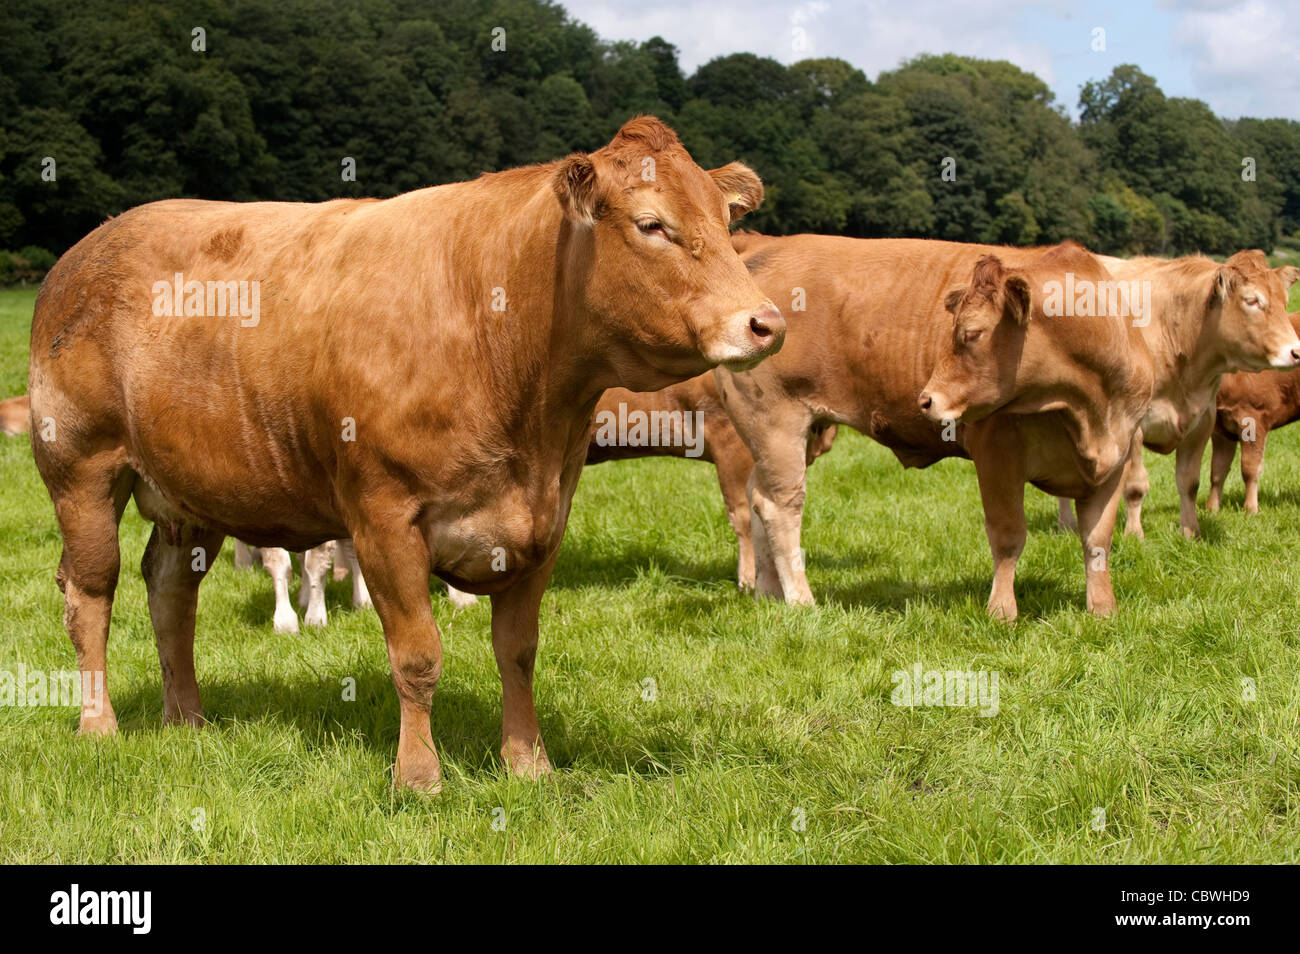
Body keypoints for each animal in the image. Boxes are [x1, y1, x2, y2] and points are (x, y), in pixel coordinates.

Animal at [27, 116, 785, 792]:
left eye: (726, 222)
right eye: (652, 224)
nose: (767, 322)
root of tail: (92, 243)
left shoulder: (544, 522)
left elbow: (518, 651)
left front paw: (528, 765)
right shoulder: (383, 518)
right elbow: (418, 656)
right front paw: (418, 777)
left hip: (189, 492)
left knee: (170, 593)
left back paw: (186, 717)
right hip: (81, 470)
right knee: (91, 593)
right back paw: (98, 724)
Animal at [717, 233, 1153, 619]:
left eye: (971, 333)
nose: (926, 399)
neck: (1087, 411)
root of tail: (766, 244)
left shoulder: (1115, 461)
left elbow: (1097, 540)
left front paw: (1103, 610)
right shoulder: (997, 454)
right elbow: (1008, 535)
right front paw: (1001, 611)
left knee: (756, 496)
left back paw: (768, 593)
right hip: (776, 421)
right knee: (780, 507)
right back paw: (801, 600)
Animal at [1204, 313, 1300, 515]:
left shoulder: (1253, 418)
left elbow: (1249, 468)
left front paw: (1250, 508)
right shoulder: (1221, 429)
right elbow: (1217, 470)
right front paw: (1212, 508)